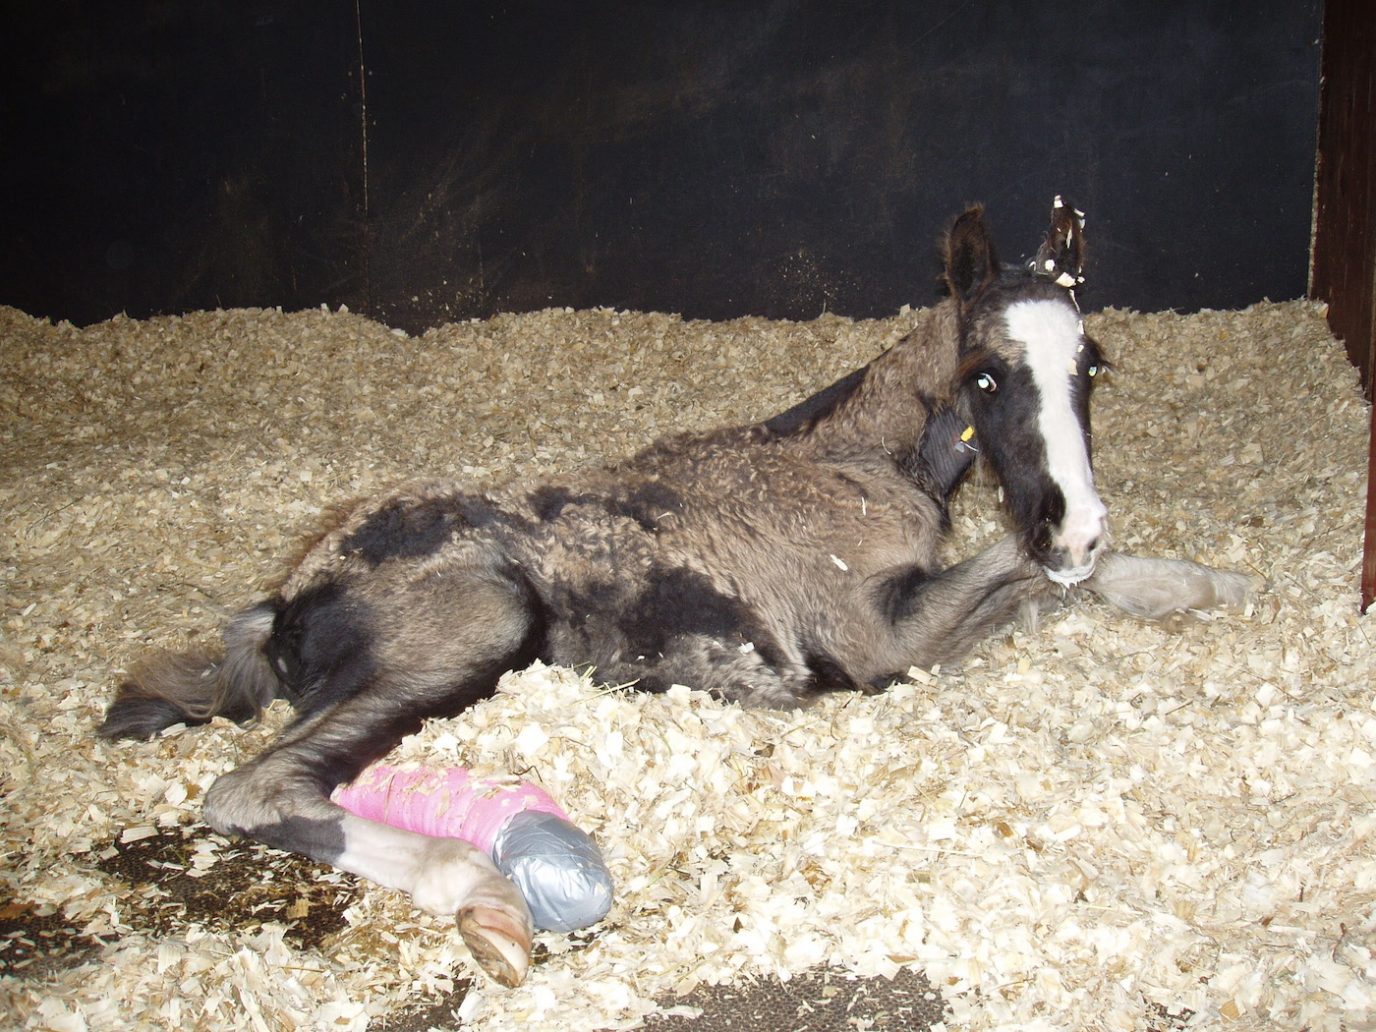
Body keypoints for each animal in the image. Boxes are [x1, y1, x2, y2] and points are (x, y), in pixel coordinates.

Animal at [99, 200, 1251, 986]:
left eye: (1091, 365)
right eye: (983, 374)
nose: (1074, 522)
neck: (851, 460)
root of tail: (284, 602)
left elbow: (1054, 582)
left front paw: (1199, 580)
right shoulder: (885, 642)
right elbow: (1014, 576)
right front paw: (1155, 572)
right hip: (475, 623)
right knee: (253, 789)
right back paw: (482, 894)